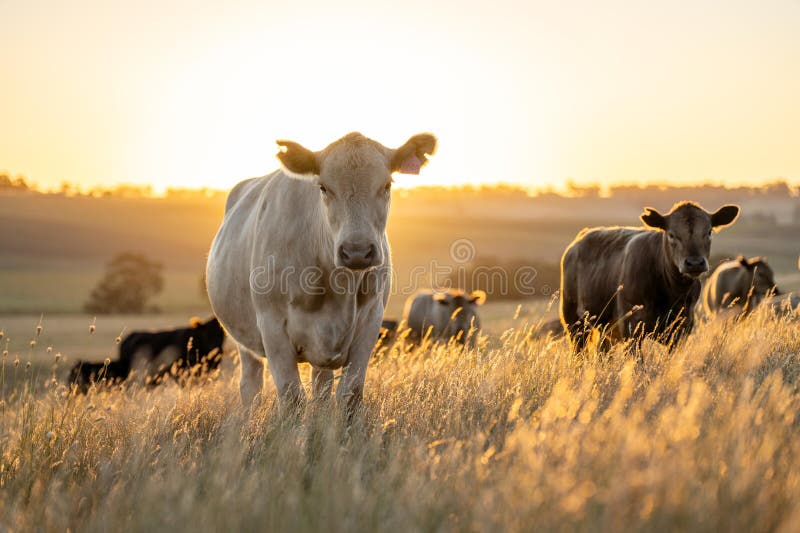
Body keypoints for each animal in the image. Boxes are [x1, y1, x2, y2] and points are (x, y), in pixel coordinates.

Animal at [206, 132, 437, 412]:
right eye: (324, 187)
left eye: (387, 185)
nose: (357, 251)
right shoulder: (271, 326)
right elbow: (292, 399)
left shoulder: (370, 320)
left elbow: (350, 394)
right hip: (245, 341)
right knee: (251, 388)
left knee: (321, 388)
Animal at [560, 201, 740, 354]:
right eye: (671, 234)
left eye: (709, 232)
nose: (694, 263)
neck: (673, 293)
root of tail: (579, 239)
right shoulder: (631, 327)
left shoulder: (682, 328)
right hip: (573, 320)